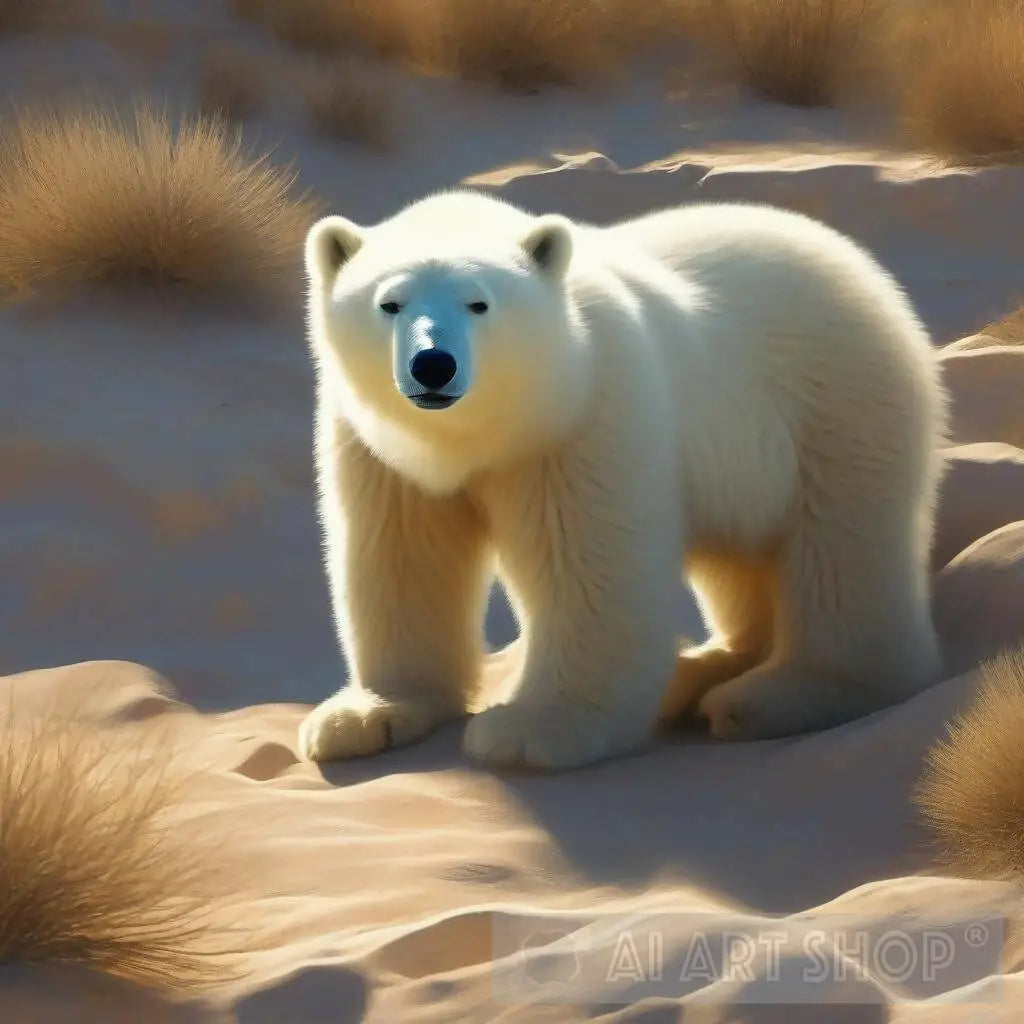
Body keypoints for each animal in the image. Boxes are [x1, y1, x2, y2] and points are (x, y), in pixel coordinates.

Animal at [297, 190, 947, 771]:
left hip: (834, 405)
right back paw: (700, 670)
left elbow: (586, 560)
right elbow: (401, 553)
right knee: (739, 560)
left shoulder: (587, 414)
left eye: (479, 303)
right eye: (390, 303)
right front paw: (364, 714)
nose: (433, 365)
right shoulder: (379, 449)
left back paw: (774, 696)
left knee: (841, 554)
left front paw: (534, 729)